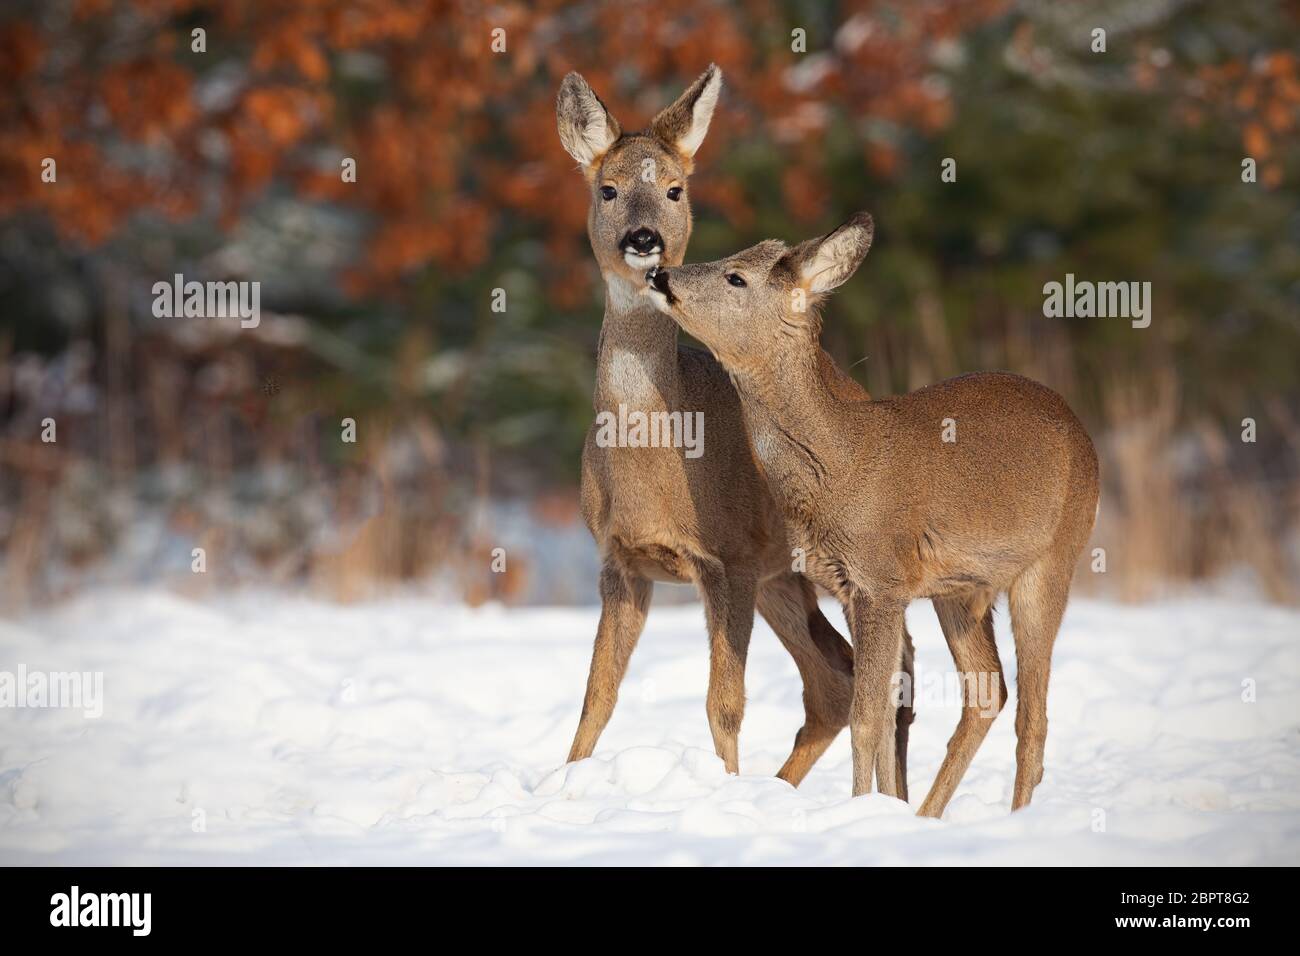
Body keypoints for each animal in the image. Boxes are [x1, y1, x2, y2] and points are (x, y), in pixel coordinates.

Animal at [556, 68, 916, 791]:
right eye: (607, 188)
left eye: (675, 188)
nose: (644, 240)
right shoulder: (620, 560)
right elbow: (597, 695)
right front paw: (564, 783)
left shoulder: (731, 556)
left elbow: (724, 701)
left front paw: (724, 787)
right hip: (787, 577)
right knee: (833, 681)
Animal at [642, 211, 1100, 814]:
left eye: (736, 277)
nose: (662, 274)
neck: (840, 463)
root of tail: (1084, 436)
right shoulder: (852, 587)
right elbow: (884, 712)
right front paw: (884, 810)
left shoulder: (880, 581)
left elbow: (865, 717)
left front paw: (860, 808)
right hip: (958, 590)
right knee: (987, 690)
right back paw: (928, 815)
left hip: (1051, 560)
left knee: (1034, 712)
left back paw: (1017, 817)